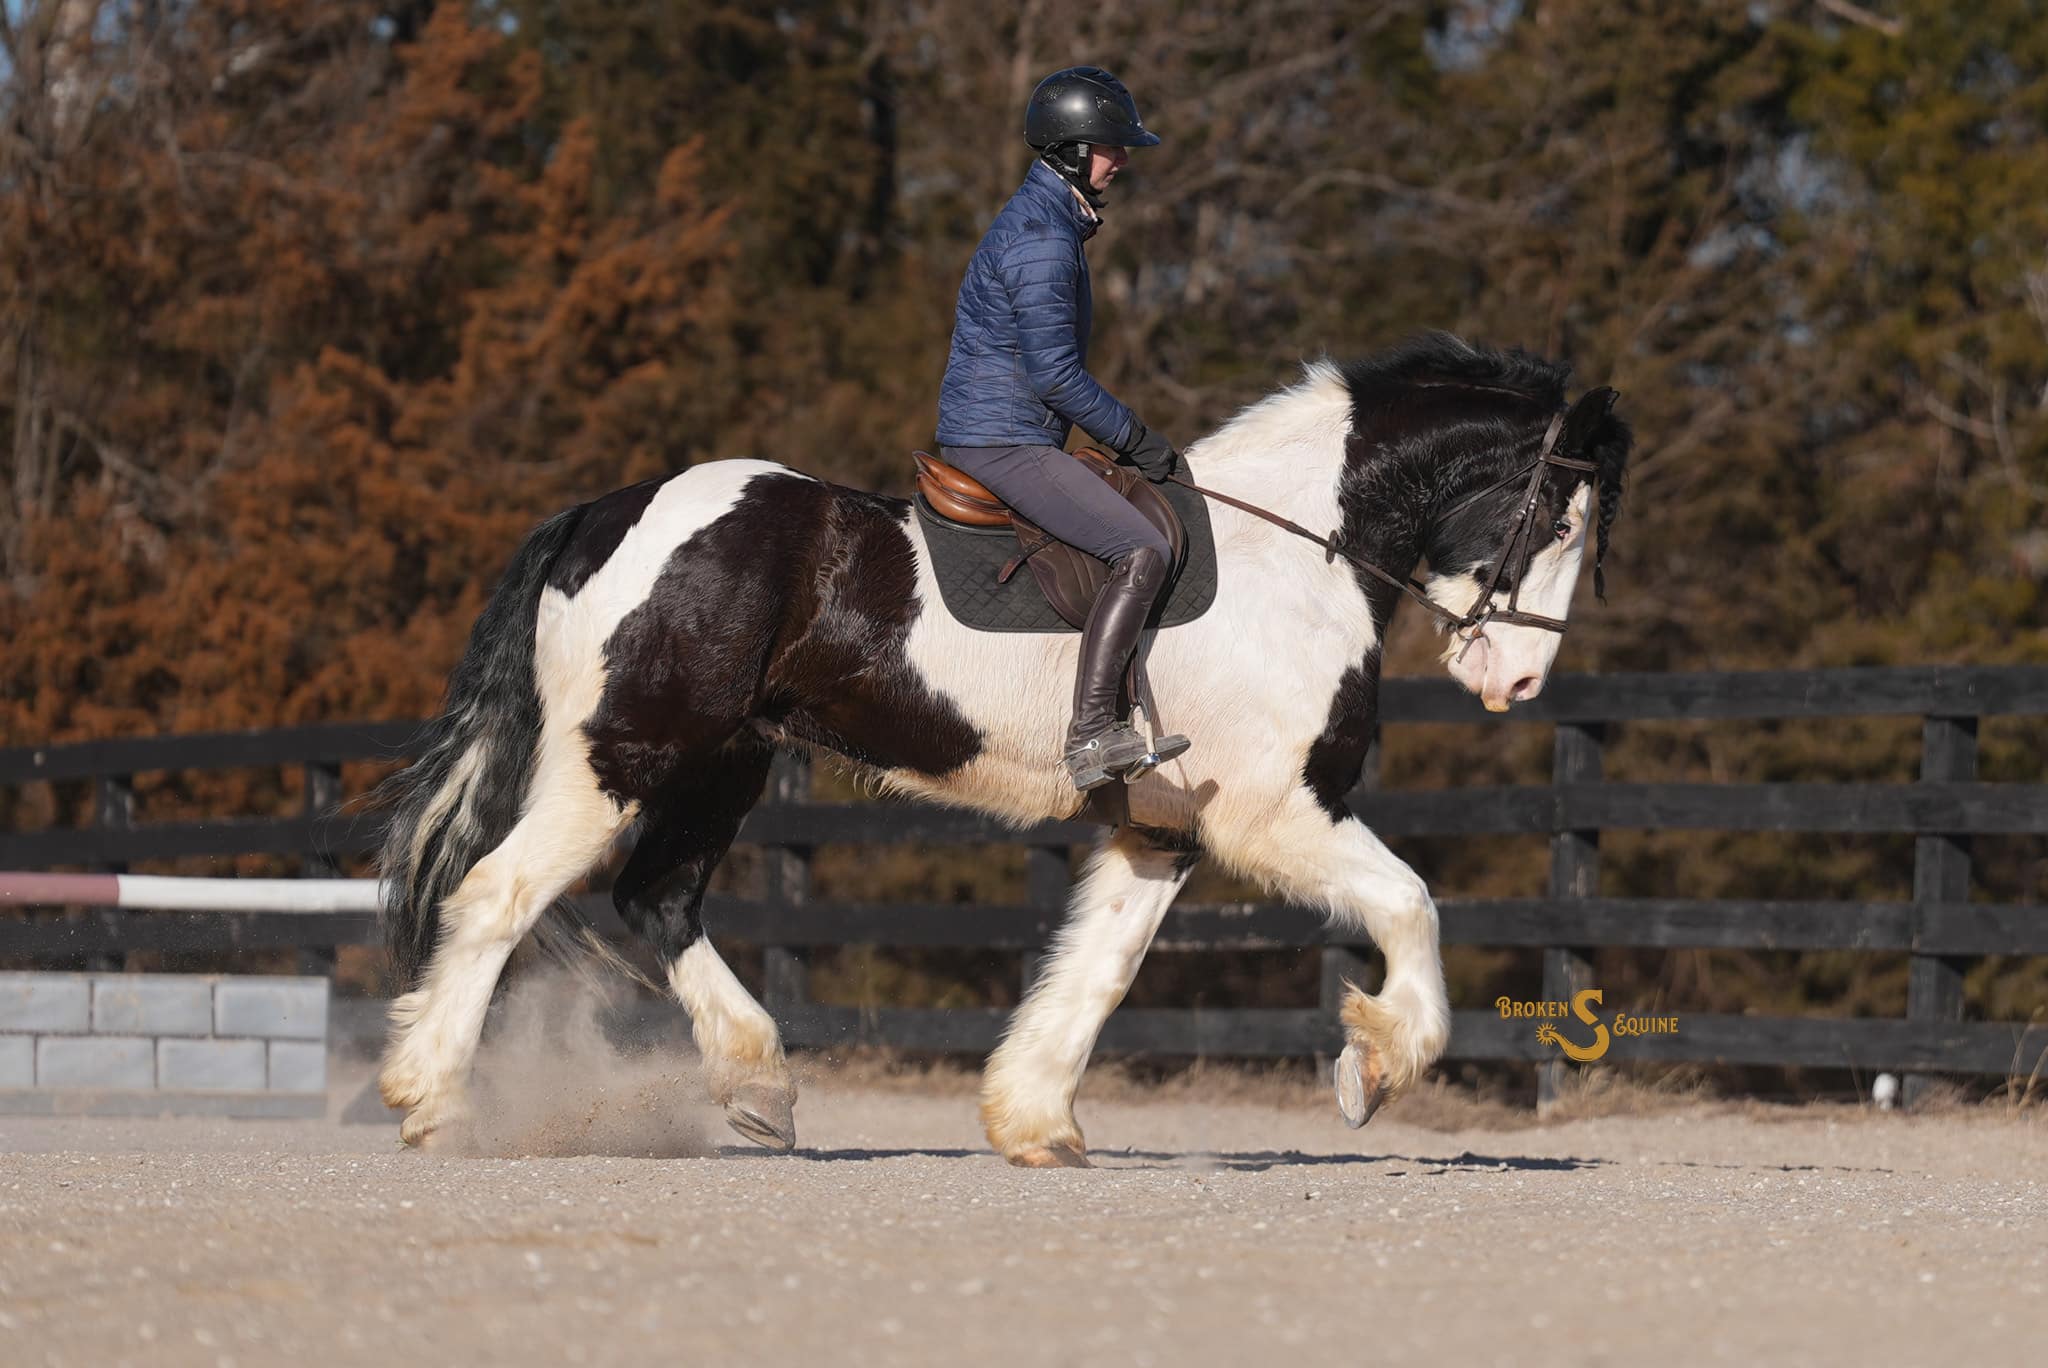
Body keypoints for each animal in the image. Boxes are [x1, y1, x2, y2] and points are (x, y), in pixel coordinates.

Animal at [373, 331, 1632, 1166]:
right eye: (1554, 518)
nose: (1517, 682)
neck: (1298, 553)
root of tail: (604, 513)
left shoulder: (1162, 830)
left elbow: (1100, 971)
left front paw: (1033, 1120)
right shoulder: (1278, 810)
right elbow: (1409, 902)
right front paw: (1375, 1065)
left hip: (719, 766)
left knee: (657, 902)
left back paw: (758, 1085)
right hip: (621, 762)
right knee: (497, 897)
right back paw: (434, 1103)